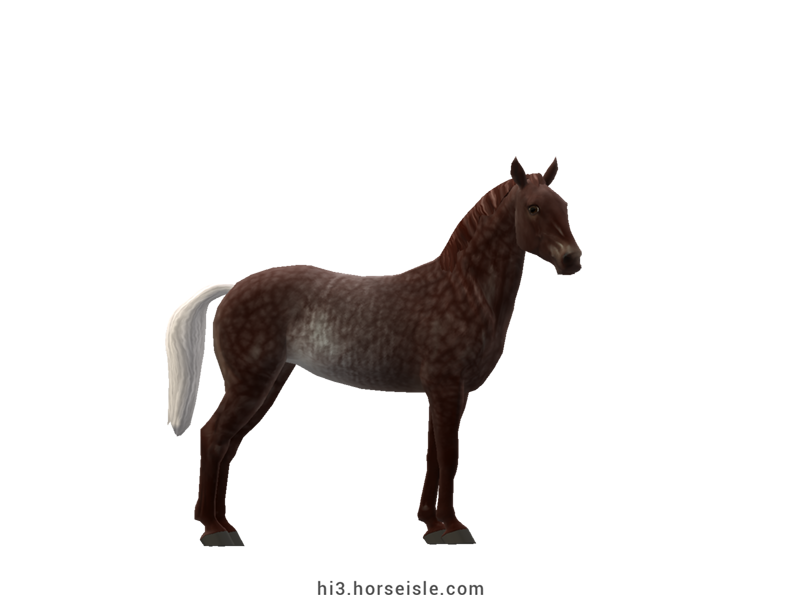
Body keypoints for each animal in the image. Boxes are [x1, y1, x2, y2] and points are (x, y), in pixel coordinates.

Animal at [165, 160, 581, 543]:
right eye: (533, 208)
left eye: (561, 202)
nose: (571, 257)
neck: (467, 290)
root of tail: (229, 291)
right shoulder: (447, 385)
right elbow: (449, 455)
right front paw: (451, 524)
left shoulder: (444, 390)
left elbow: (434, 456)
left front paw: (430, 521)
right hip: (250, 382)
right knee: (213, 437)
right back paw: (214, 526)